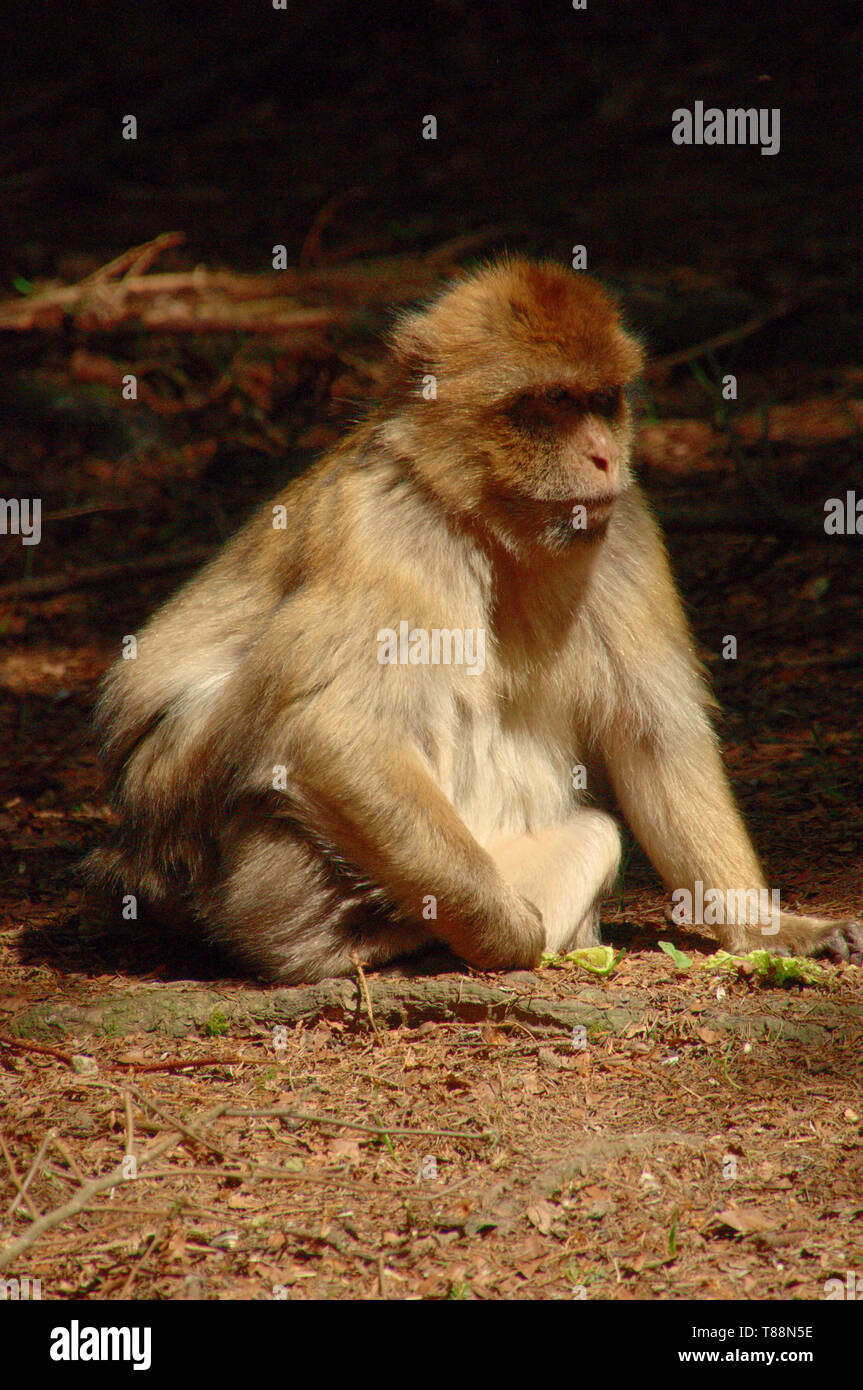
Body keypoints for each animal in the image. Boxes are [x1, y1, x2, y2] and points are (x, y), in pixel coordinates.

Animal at [88, 256, 862, 983]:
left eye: (601, 402)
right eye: (554, 403)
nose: (603, 454)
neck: (486, 519)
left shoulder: (623, 529)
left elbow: (654, 739)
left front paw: (765, 927)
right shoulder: (390, 533)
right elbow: (335, 735)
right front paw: (503, 932)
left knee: (591, 833)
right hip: (266, 879)